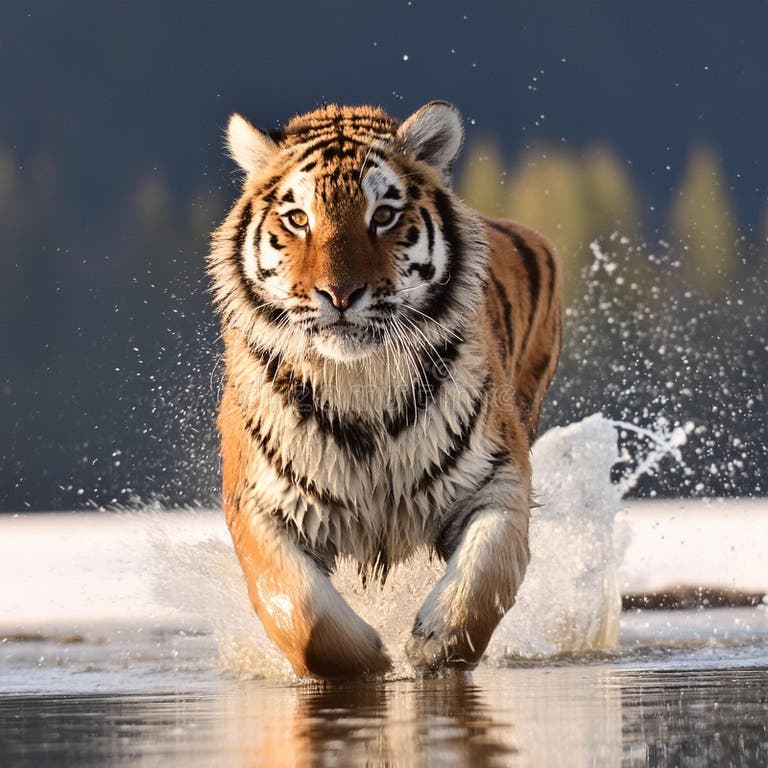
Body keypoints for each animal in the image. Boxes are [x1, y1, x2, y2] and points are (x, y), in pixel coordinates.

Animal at [208, 101, 562, 679]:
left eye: (383, 215)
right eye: (299, 218)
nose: (340, 294)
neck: (360, 380)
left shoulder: (497, 478)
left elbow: (482, 581)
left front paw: (430, 649)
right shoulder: (262, 501)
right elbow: (304, 617)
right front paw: (373, 661)